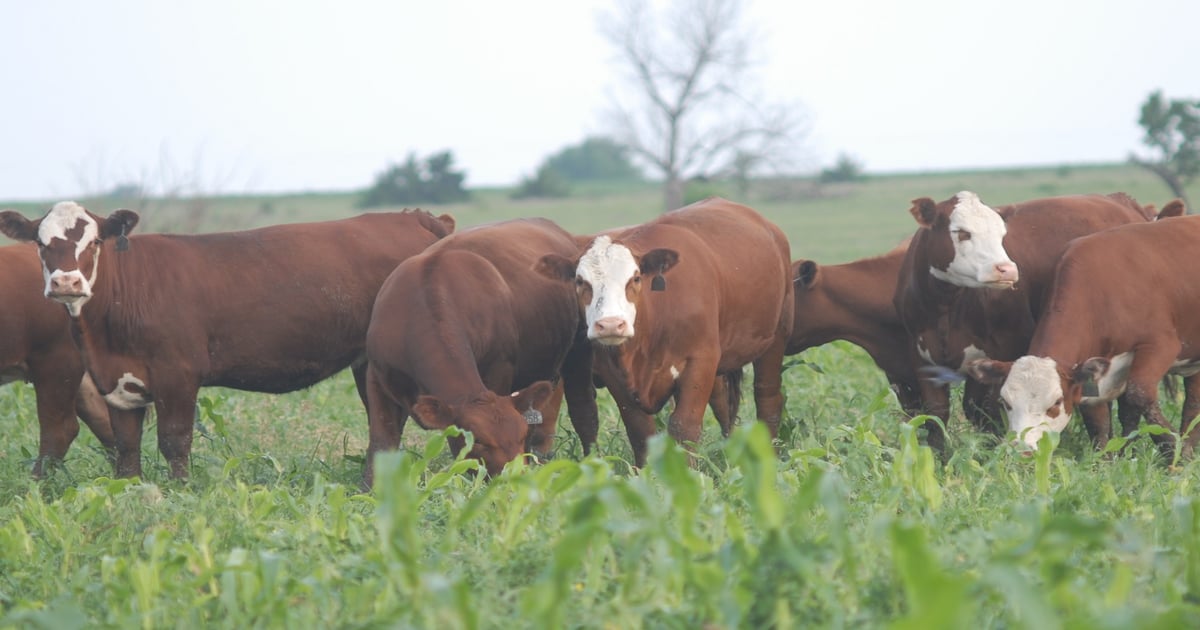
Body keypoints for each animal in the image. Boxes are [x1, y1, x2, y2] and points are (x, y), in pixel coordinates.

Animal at [362, 217, 599, 484]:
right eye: (478, 442)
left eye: (519, 436)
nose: (515, 476)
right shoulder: (376, 376)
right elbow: (381, 443)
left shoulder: (499, 368)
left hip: (579, 349)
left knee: (584, 410)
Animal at [536, 197, 793, 466]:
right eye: (580, 281)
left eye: (635, 278)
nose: (610, 324)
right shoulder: (614, 374)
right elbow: (640, 432)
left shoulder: (700, 361)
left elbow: (684, 426)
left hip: (776, 339)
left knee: (767, 399)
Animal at [894, 191, 1164, 451]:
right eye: (962, 232)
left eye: (1002, 234)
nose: (1006, 269)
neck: (945, 308)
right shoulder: (923, 361)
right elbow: (935, 416)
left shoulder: (1003, 356)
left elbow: (987, 413)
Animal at [967, 210, 1199, 458]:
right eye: (1006, 402)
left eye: (1056, 403)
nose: (1023, 450)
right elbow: (1100, 423)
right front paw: (1110, 457)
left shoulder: (1160, 346)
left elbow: (1139, 395)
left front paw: (1174, 450)